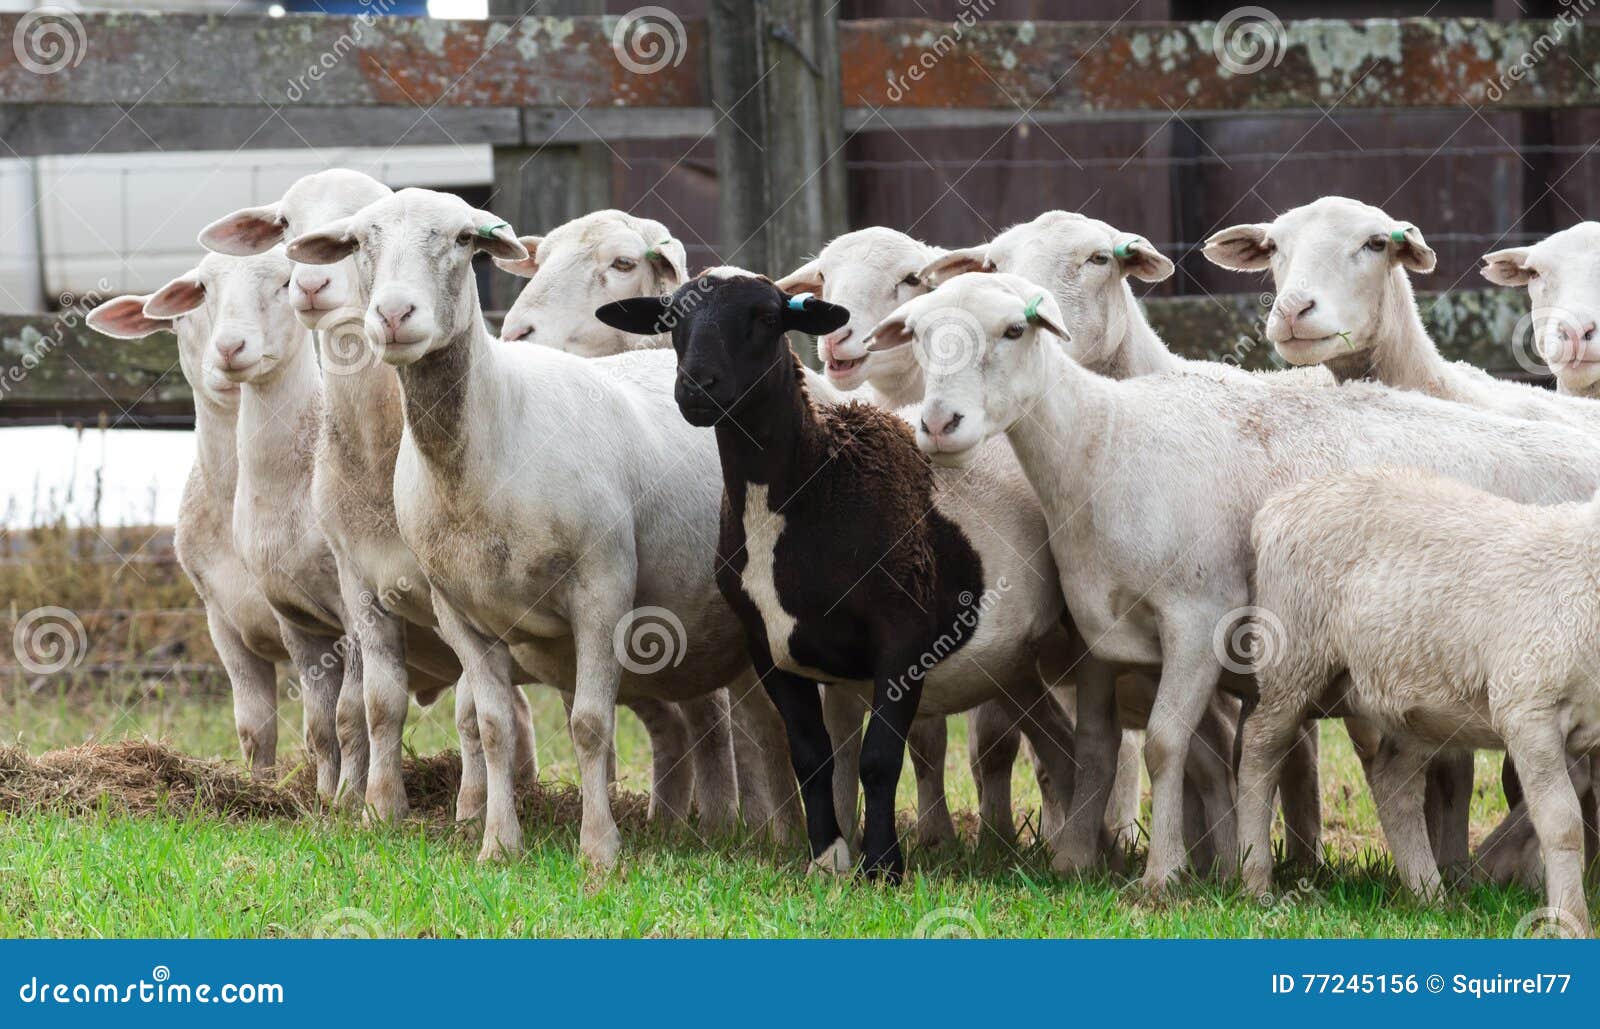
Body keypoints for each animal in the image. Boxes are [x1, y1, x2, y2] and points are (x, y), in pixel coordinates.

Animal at [285, 188, 794, 865]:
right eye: (360, 243)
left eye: (463, 241)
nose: (394, 315)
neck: (487, 440)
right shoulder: (459, 612)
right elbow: (491, 725)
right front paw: (496, 842)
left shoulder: (603, 592)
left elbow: (590, 726)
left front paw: (599, 851)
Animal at [595, 267, 1081, 879]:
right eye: (672, 320)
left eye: (767, 317)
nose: (696, 388)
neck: (815, 480)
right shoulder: (769, 647)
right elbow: (811, 756)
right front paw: (827, 859)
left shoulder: (903, 637)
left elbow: (879, 759)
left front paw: (884, 867)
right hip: (1016, 660)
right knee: (1061, 745)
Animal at [1242, 466, 1600, 936]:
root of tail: (1278, 506)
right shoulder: (1528, 710)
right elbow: (1562, 823)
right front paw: (1572, 922)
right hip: (1293, 653)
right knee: (1260, 748)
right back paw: (1255, 881)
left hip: (1422, 704)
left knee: (1393, 782)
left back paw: (1431, 897)